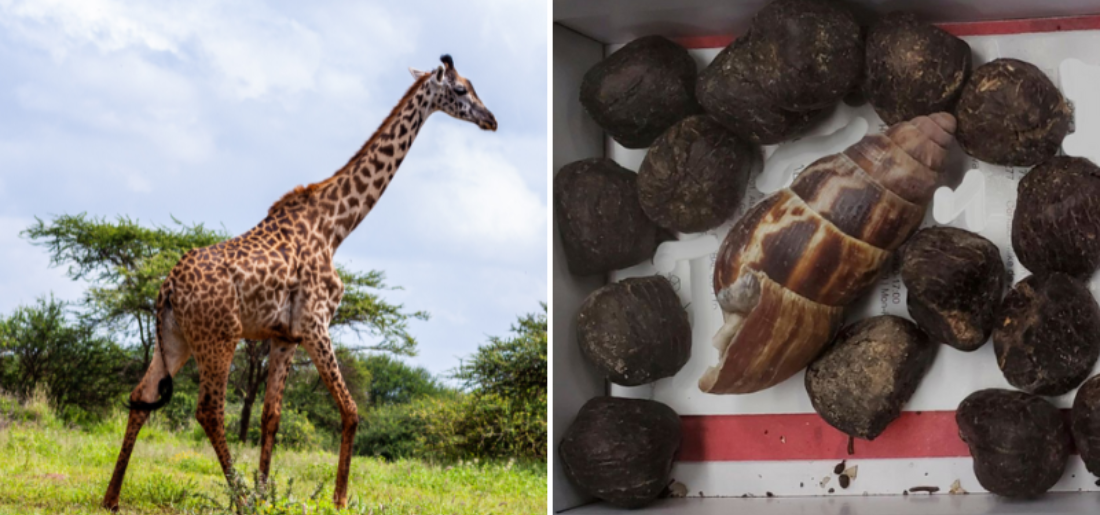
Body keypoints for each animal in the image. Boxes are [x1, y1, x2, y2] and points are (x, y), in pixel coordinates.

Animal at [101, 54, 497, 511]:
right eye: (462, 89)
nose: (491, 119)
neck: (336, 227)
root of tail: (166, 288)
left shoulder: (284, 335)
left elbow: (270, 415)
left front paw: (266, 493)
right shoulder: (315, 323)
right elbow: (351, 410)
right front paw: (337, 498)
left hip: (176, 337)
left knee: (141, 396)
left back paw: (112, 498)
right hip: (219, 337)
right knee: (208, 410)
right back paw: (238, 499)